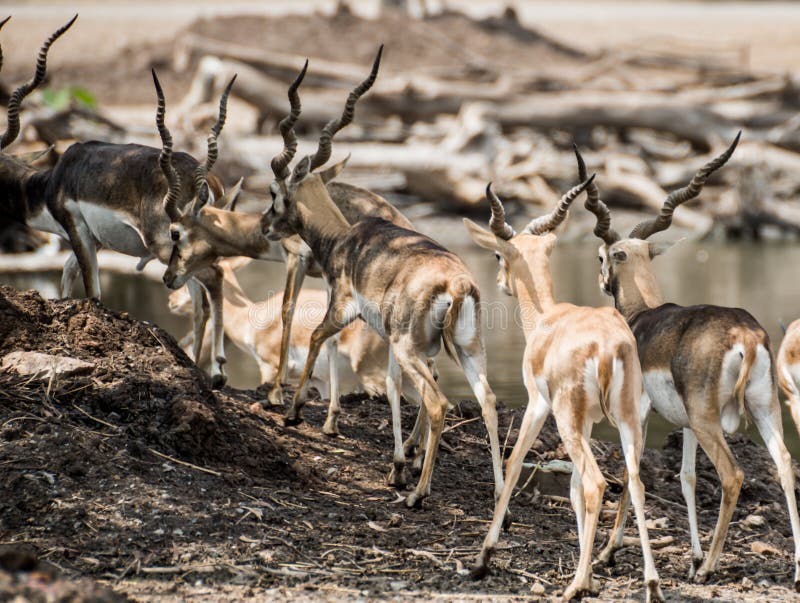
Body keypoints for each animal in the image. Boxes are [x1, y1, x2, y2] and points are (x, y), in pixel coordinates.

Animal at [167, 258, 432, 457]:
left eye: (193, 277)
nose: (171, 301)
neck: (251, 320)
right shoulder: (320, 381)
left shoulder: (269, 367)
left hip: (372, 375)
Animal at [262, 48, 504, 508]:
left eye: (273, 192)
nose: (265, 226)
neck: (344, 237)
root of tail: (458, 284)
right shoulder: (391, 340)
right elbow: (391, 387)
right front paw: (397, 466)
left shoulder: (342, 308)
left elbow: (317, 337)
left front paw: (294, 411)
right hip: (463, 349)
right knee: (488, 400)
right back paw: (501, 498)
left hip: (413, 348)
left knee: (439, 402)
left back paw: (420, 494)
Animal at [464, 182, 663, 602]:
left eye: (497, 253)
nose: (502, 282)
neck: (547, 320)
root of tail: (609, 345)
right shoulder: (588, 421)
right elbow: (571, 489)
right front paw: (590, 575)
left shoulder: (538, 405)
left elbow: (513, 463)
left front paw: (483, 558)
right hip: (626, 420)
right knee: (633, 482)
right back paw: (650, 584)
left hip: (567, 419)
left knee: (597, 482)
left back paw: (574, 587)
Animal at [577, 136, 800, 589]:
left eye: (602, 256)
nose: (600, 279)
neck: (642, 316)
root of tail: (745, 334)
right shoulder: (684, 425)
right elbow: (687, 478)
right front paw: (693, 557)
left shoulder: (640, 412)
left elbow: (631, 472)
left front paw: (609, 553)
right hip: (758, 407)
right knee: (785, 465)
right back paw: (794, 568)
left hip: (708, 418)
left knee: (733, 475)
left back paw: (712, 567)